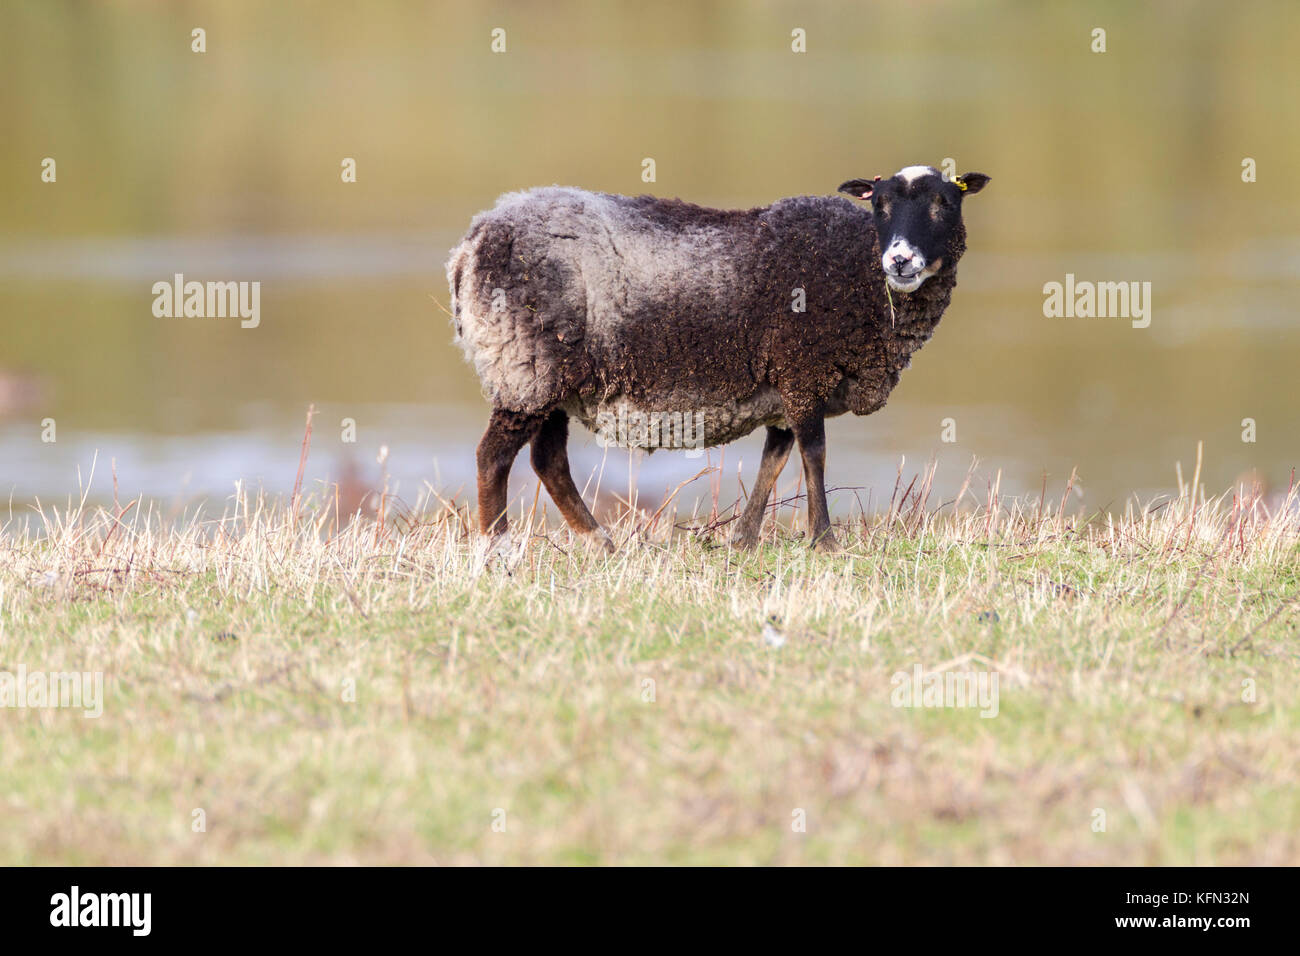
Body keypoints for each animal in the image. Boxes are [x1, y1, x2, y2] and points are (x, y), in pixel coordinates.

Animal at [446, 164, 990, 552]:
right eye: (879, 204)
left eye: (945, 203)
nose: (900, 260)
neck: (857, 270)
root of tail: (470, 245)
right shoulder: (803, 369)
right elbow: (813, 454)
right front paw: (824, 540)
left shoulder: (784, 383)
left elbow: (775, 458)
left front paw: (743, 539)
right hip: (527, 367)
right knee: (493, 456)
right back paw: (496, 548)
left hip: (554, 380)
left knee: (548, 460)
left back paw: (601, 543)